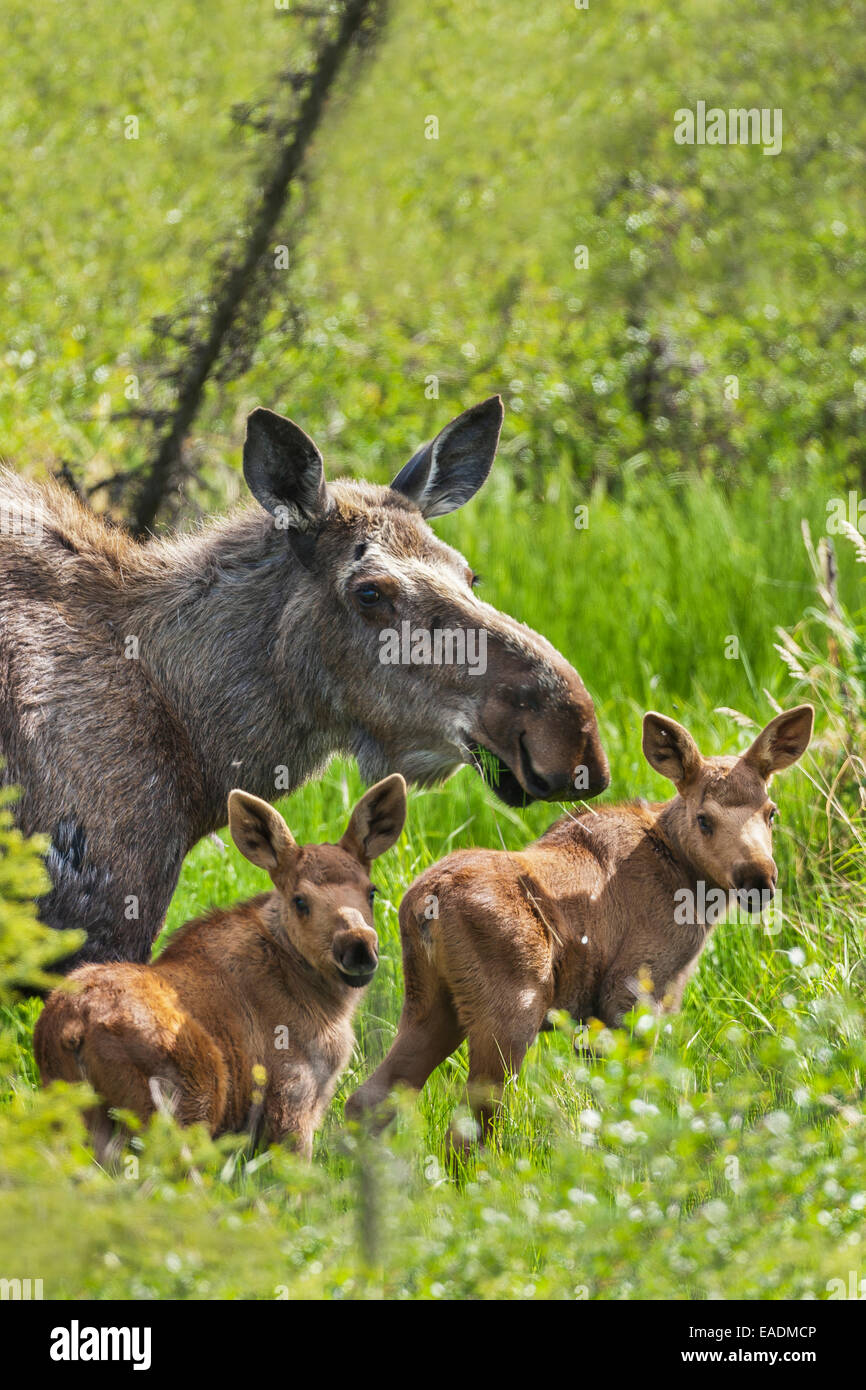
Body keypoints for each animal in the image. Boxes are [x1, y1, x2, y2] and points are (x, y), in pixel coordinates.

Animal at [34, 775, 407, 1161]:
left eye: (371, 891)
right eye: (300, 900)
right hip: (181, 1106)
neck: (328, 1004)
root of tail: (72, 1029)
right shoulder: (291, 1098)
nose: (358, 946)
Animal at [346, 705, 814, 1148]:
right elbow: (632, 1101)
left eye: (771, 813)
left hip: (430, 1003)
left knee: (369, 1099)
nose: (758, 878)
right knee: (469, 1126)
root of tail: (425, 904)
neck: (687, 878)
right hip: (511, 1010)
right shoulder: (632, 991)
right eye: (704, 818)